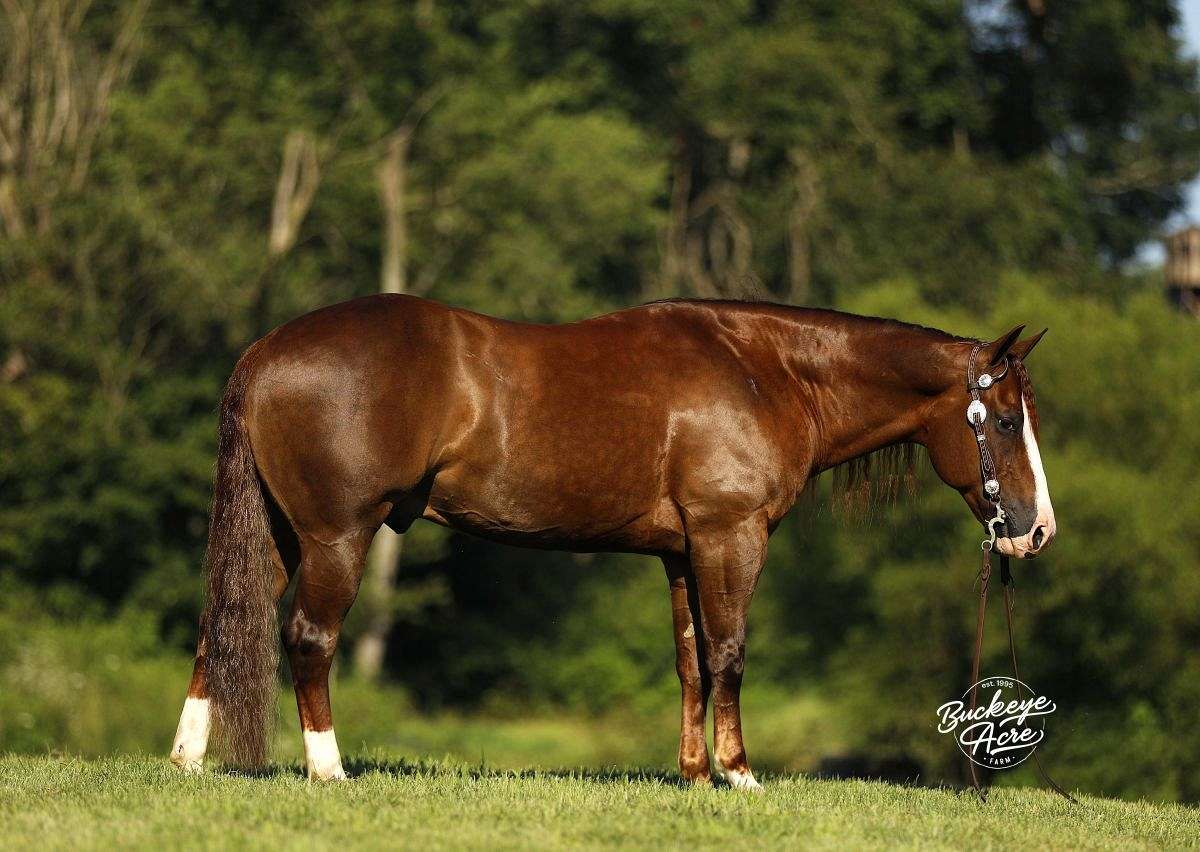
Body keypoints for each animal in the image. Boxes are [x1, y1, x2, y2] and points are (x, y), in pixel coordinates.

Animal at [170, 295, 1053, 788]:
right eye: (1007, 421)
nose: (1036, 531)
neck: (768, 371)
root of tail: (265, 352)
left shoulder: (681, 552)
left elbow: (692, 661)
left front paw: (694, 776)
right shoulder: (730, 537)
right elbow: (730, 652)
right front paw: (741, 775)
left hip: (279, 537)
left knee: (219, 626)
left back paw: (186, 759)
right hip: (335, 539)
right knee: (308, 638)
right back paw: (329, 769)